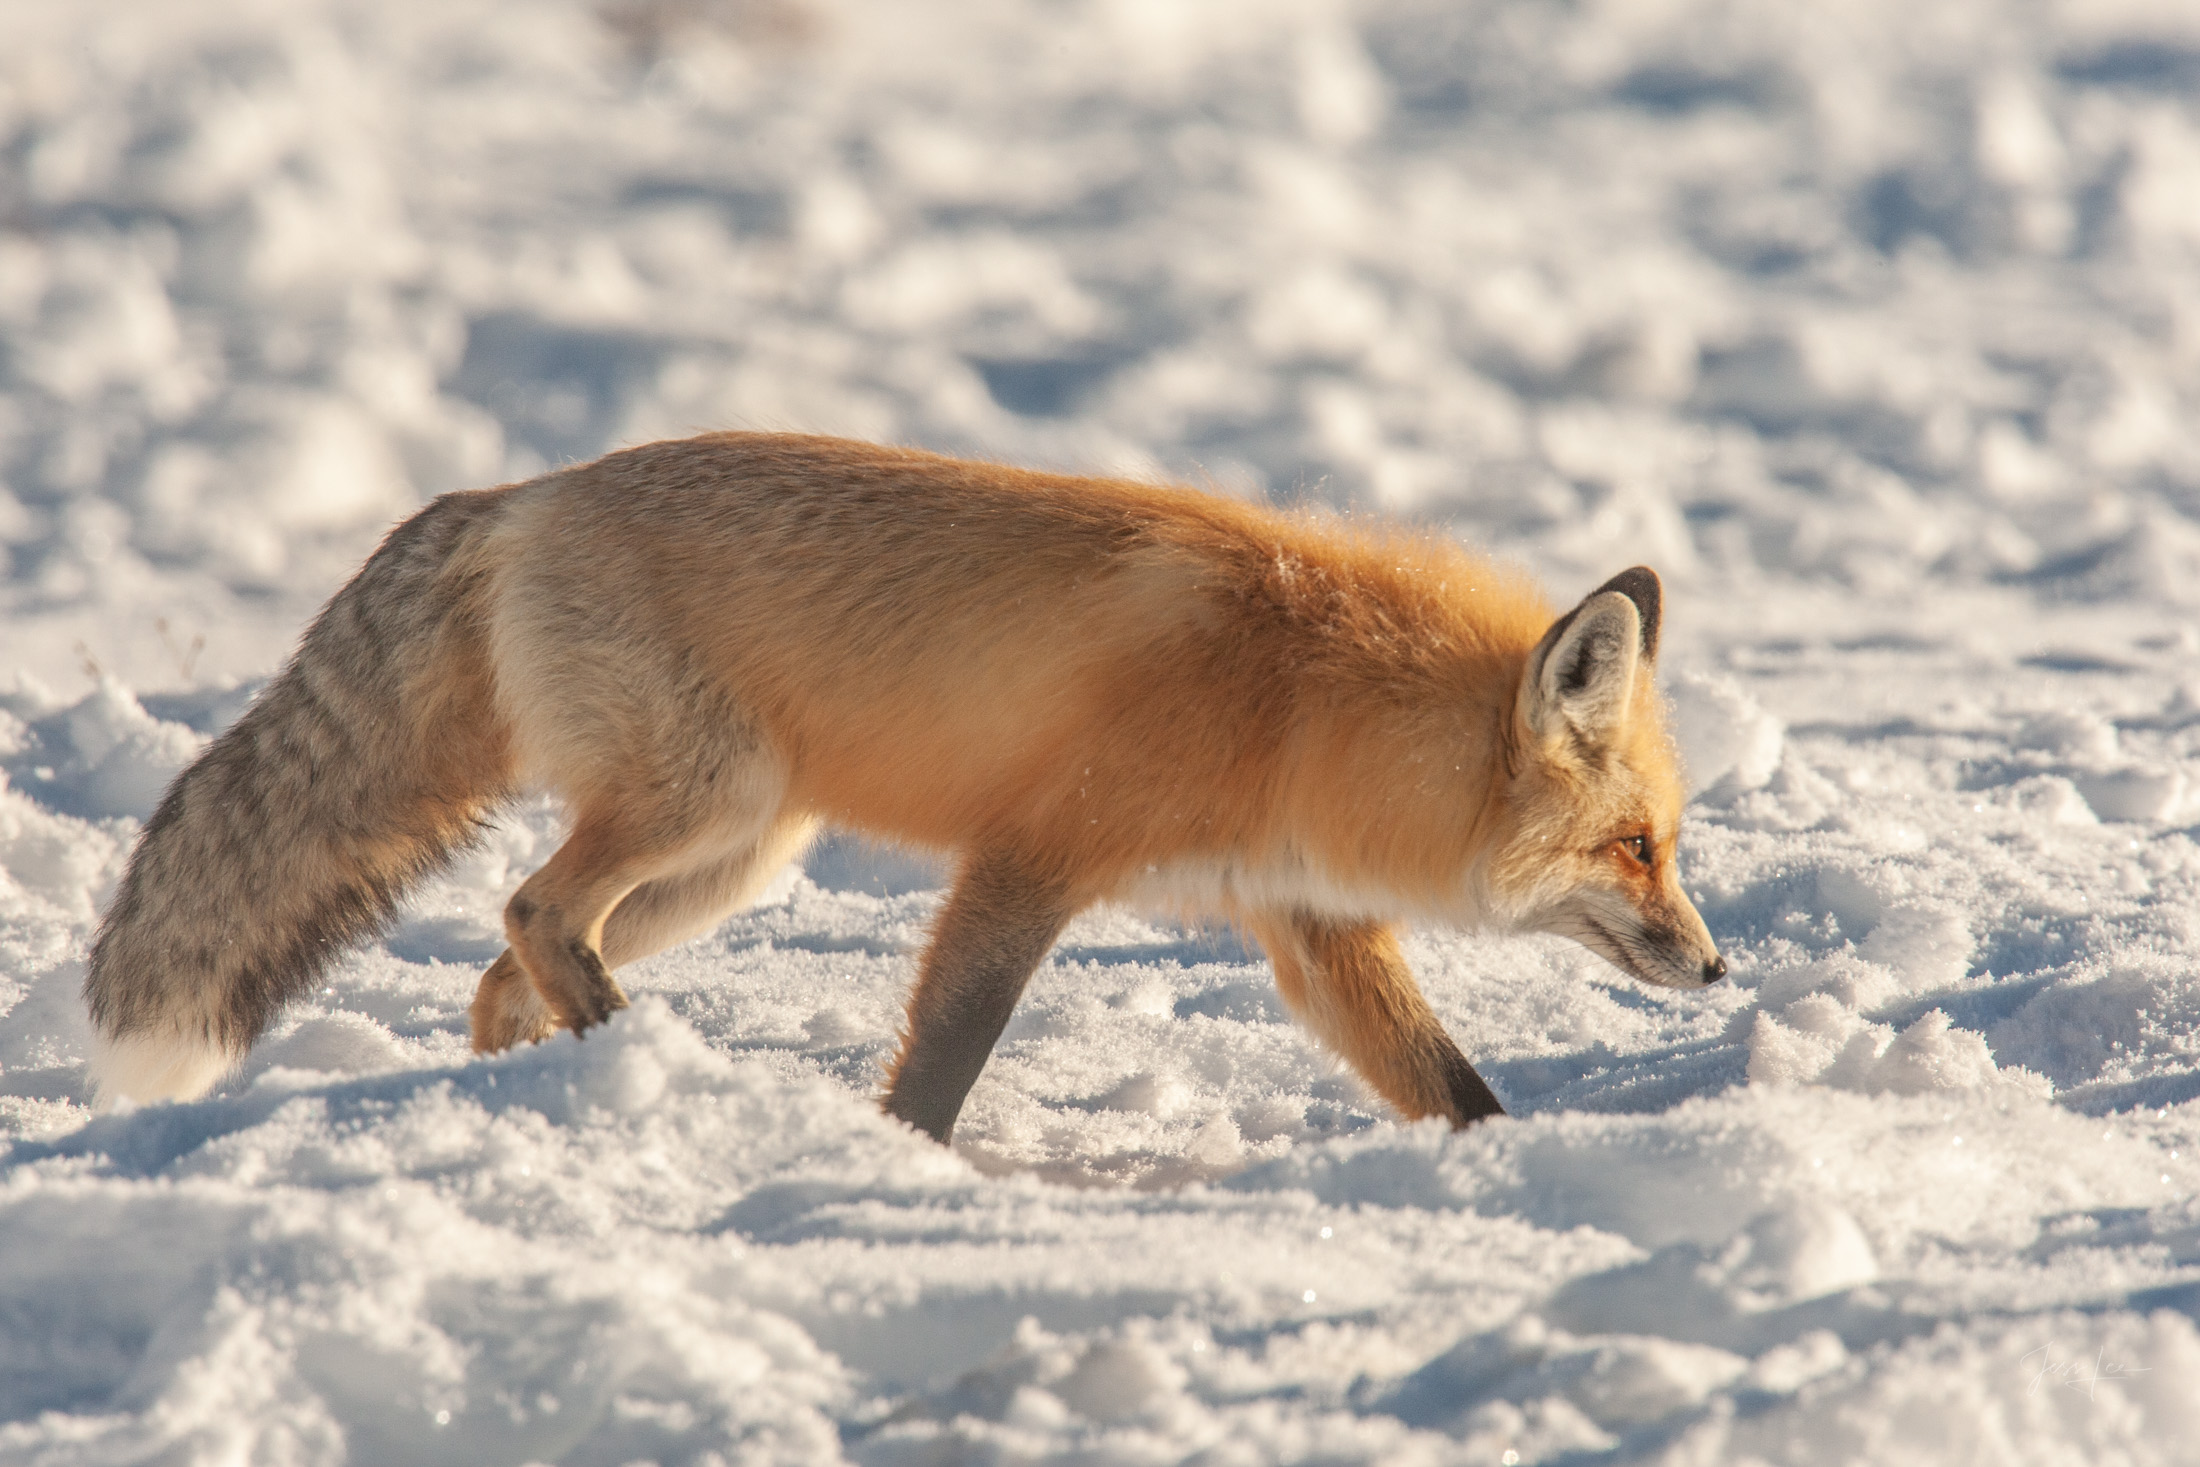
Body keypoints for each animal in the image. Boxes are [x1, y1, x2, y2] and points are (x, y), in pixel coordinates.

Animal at [84, 431, 1723, 1139]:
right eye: (1635, 846)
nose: (1716, 965)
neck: (1300, 702)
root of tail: (521, 493)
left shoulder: (1308, 927)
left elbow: (1452, 1085)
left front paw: (1512, 1177)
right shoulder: (1027, 860)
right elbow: (947, 1052)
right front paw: (914, 1168)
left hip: (729, 859)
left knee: (506, 965)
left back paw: (536, 1097)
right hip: (705, 806)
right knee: (534, 915)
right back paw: (635, 1066)